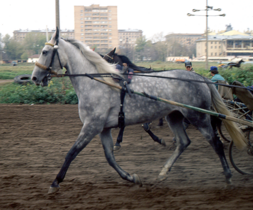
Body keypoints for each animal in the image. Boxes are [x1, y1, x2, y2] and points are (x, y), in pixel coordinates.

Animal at [31, 28, 245, 194]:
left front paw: (55, 182)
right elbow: (109, 157)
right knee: (184, 142)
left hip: (198, 116)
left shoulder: (92, 126)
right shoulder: (103, 128)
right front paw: (132, 177)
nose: (34, 78)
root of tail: (201, 78)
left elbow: (71, 152)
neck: (99, 83)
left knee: (216, 143)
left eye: (44, 51)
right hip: (174, 116)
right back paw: (163, 172)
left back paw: (228, 177)